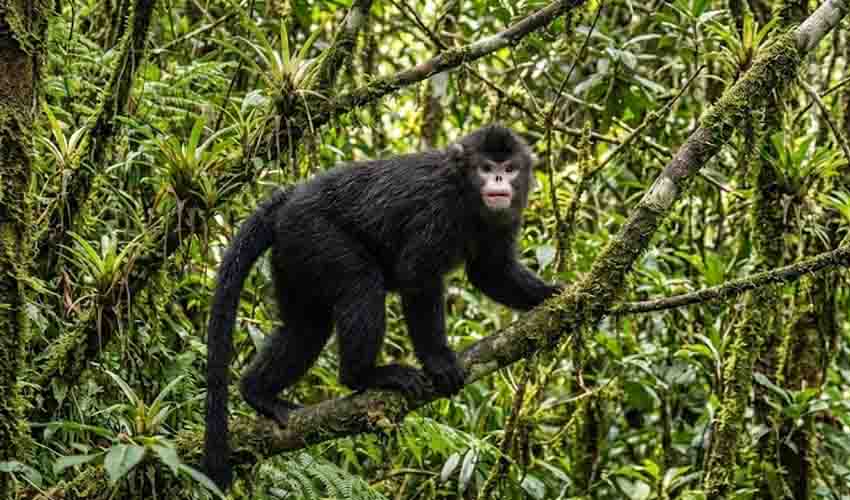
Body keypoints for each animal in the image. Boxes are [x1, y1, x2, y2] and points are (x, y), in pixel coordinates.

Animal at [203, 124, 562, 489]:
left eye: (510, 168)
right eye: (486, 168)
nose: (500, 180)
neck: (466, 195)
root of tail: (292, 196)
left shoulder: (505, 218)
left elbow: (491, 271)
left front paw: (552, 296)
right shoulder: (438, 207)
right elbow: (417, 275)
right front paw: (438, 361)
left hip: (292, 249)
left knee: (307, 327)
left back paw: (257, 392)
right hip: (313, 232)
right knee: (362, 283)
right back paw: (363, 375)